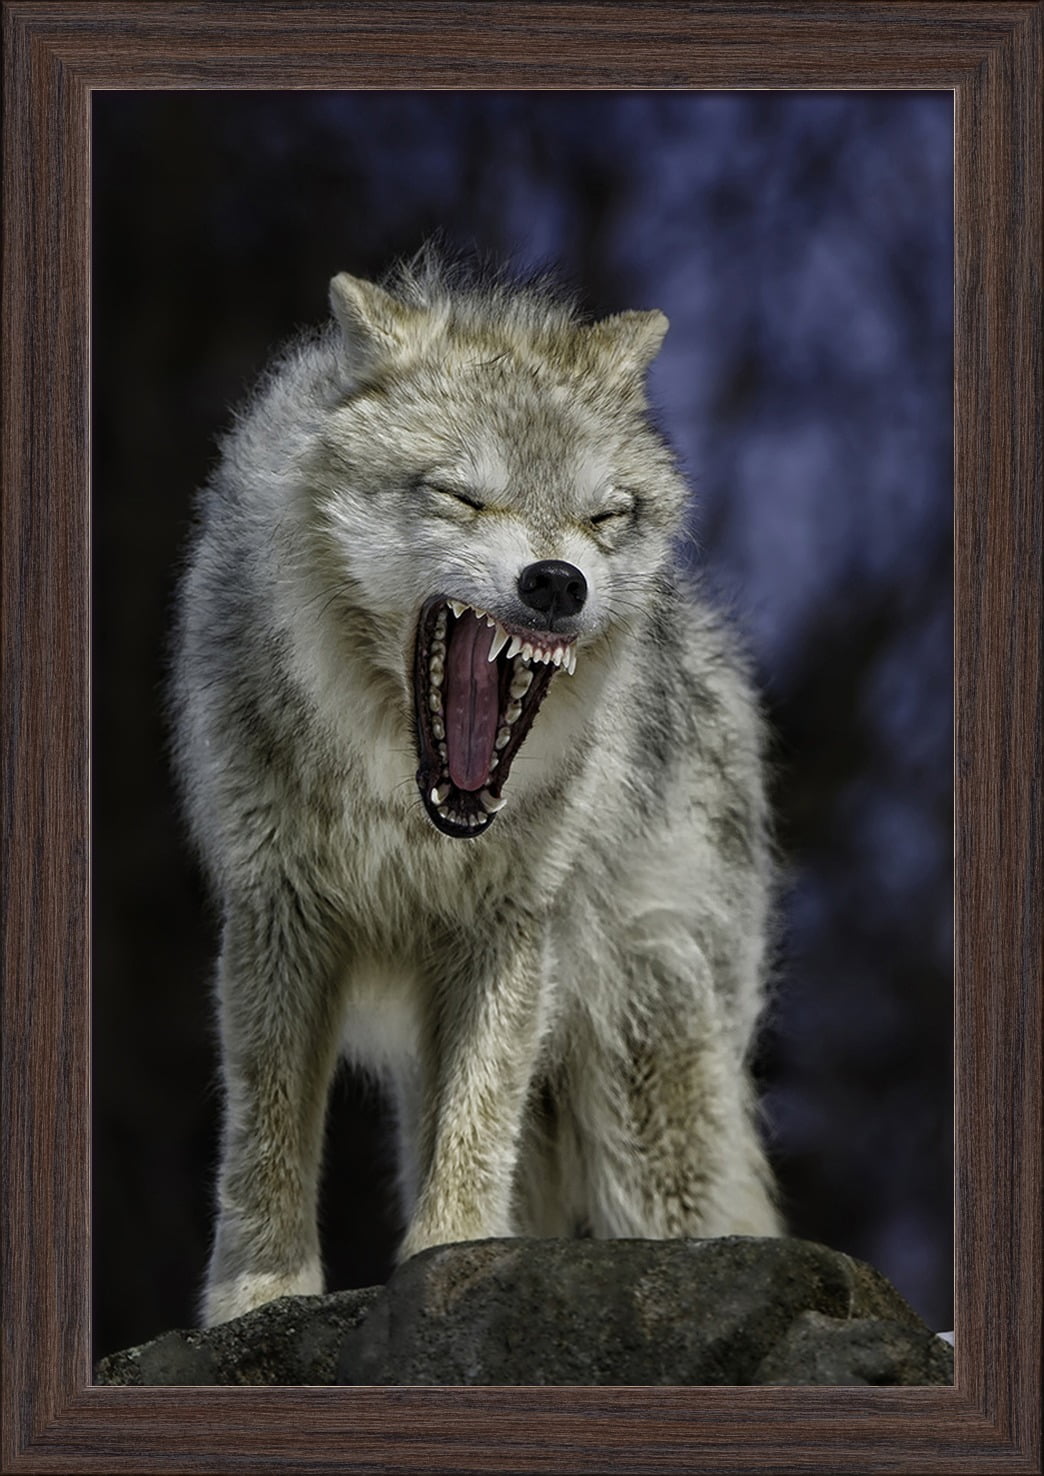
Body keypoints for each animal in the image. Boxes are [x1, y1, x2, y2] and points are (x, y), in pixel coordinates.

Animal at [170, 257, 781, 1327]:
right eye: (460, 495)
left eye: (603, 516)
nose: (558, 582)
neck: (404, 812)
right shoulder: (280, 912)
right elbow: (268, 1135)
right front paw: (259, 1297)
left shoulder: (508, 932)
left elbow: (478, 1124)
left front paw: (453, 1261)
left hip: (638, 1071)